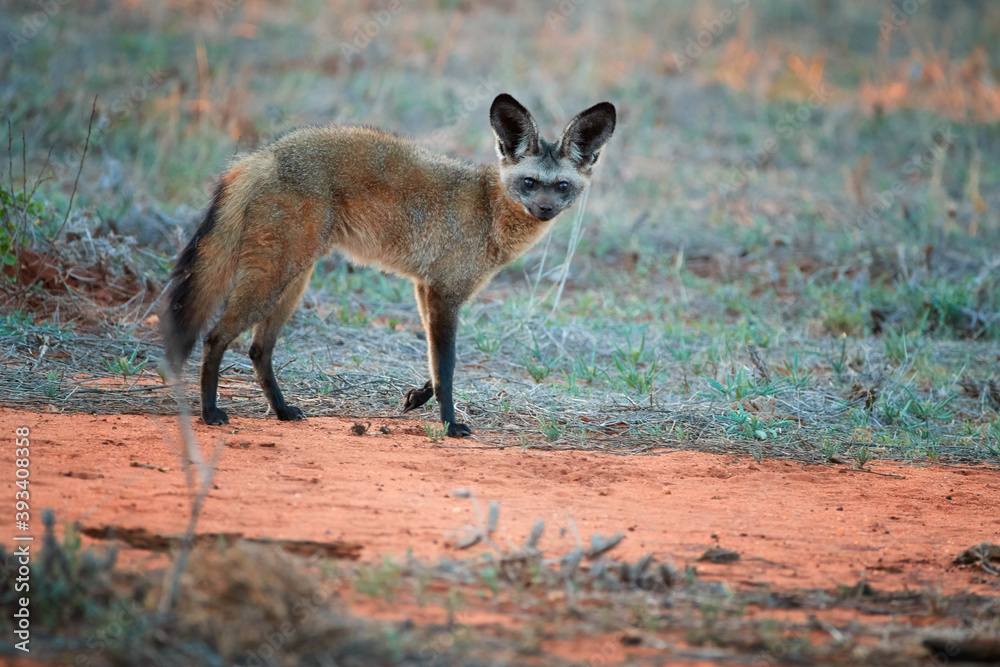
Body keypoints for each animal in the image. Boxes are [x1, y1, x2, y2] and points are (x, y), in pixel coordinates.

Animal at [162, 93, 616, 438]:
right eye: (529, 183)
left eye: (562, 186)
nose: (544, 210)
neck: (488, 212)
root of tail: (262, 155)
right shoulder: (445, 293)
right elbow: (447, 366)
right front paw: (449, 425)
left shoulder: (426, 289)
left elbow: (434, 365)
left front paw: (418, 398)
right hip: (275, 277)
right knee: (215, 338)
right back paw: (209, 413)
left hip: (294, 279)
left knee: (258, 349)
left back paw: (283, 410)